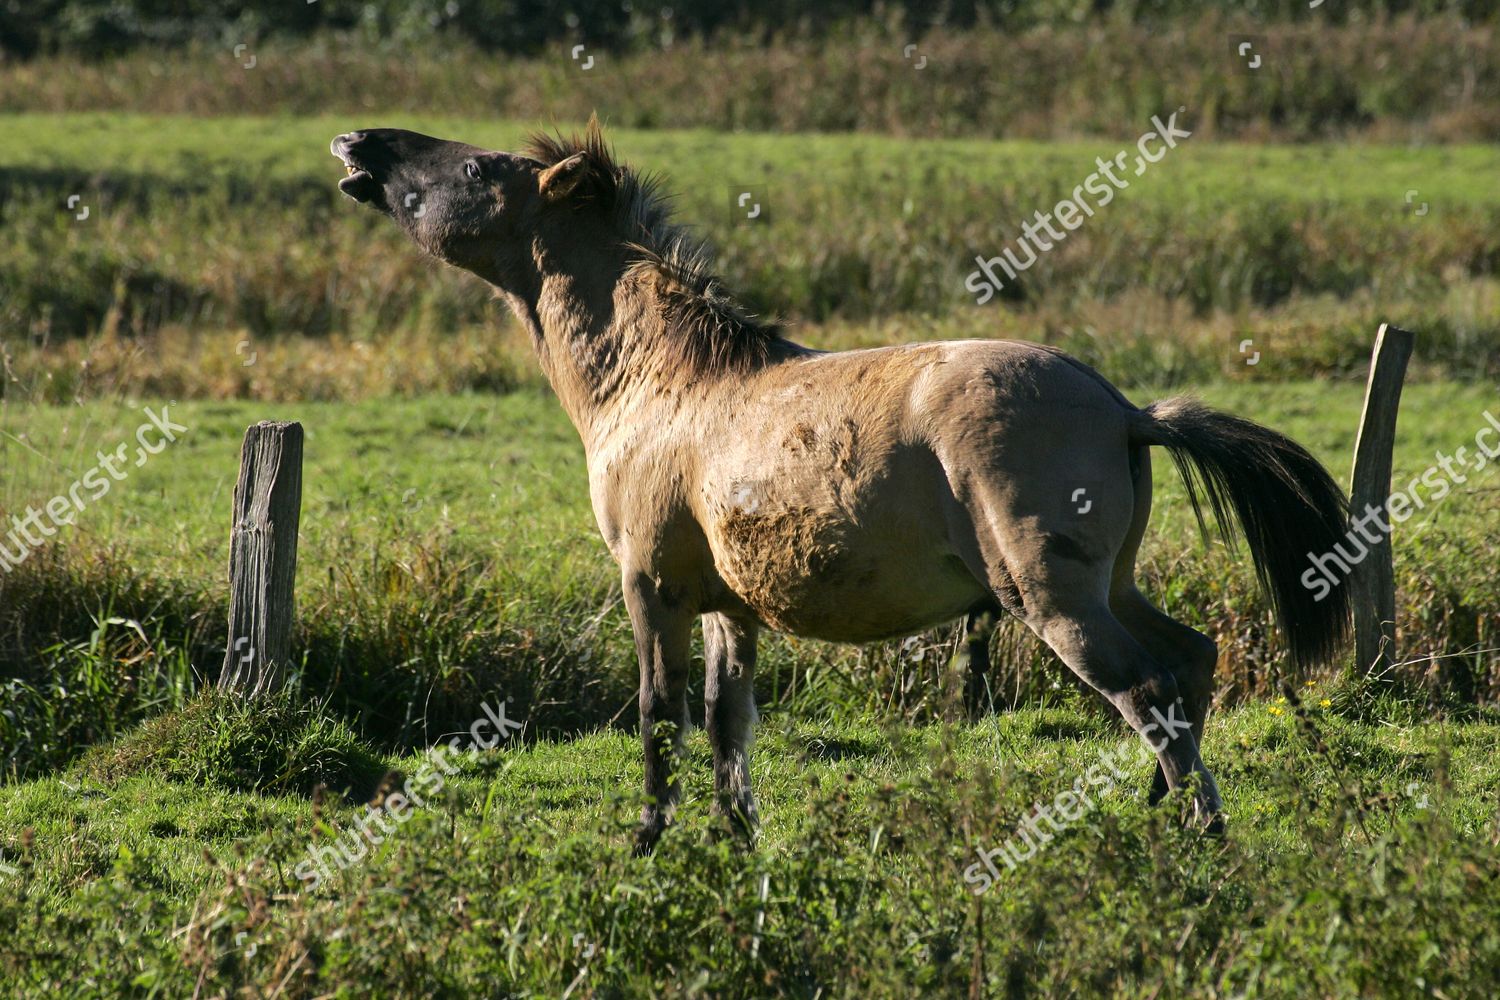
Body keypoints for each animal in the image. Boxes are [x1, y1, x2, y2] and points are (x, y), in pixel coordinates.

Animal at [331, 120, 1351, 852]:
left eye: (476, 168)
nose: (357, 146)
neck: (660, 381)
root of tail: (1126, 409)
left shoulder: (648, 587)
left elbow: (659, 714)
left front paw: (649, 841)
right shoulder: (725, 609)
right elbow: (727, 726)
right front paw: (737, 844)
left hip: (1053, 600)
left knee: (1147, 692)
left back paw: (1200, 833)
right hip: (1113, 585)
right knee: (1191, 662)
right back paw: (1157, 811)